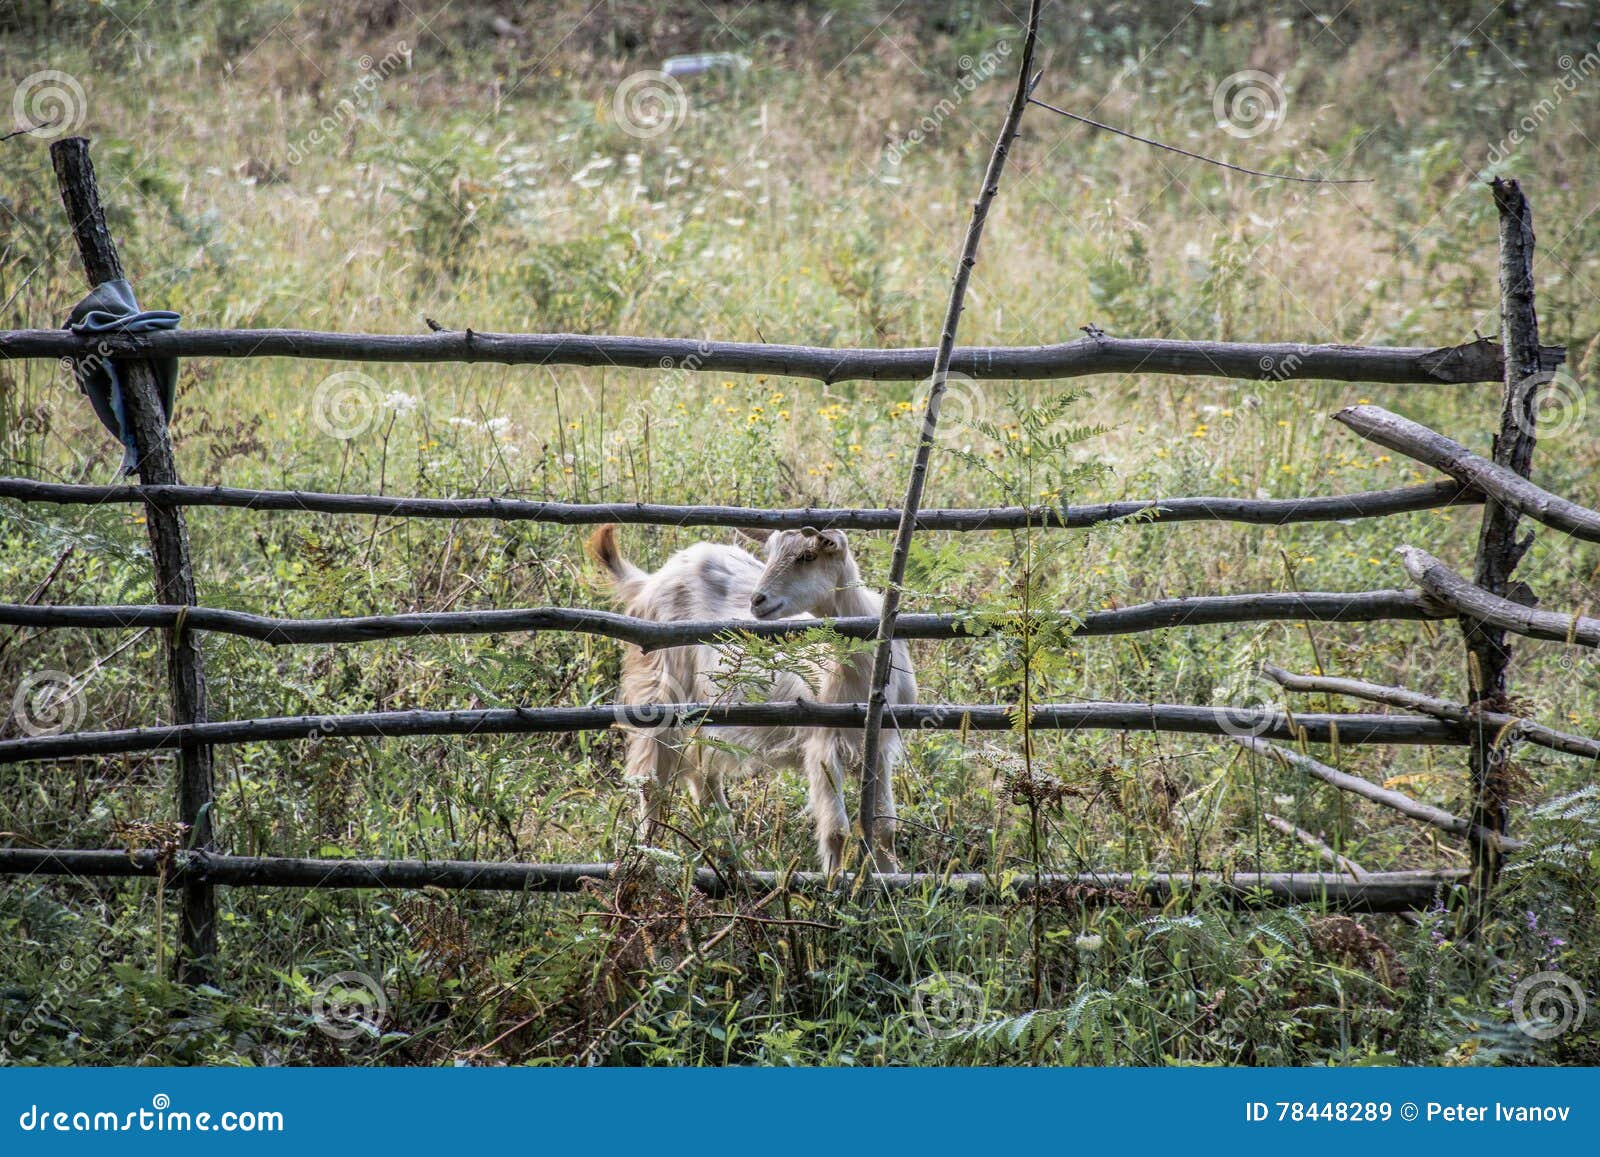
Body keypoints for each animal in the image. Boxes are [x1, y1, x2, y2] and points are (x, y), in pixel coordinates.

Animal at [586, 523, 917, 873]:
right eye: (769, 554)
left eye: (808, 555)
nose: (757, 601)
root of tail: (650, 581)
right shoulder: (822, 741)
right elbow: (836, 831)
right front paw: (834, 883)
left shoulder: (880, 743)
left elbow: (885, 827)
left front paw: (888, 880)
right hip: (658, 696)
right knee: (652, 784)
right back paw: (645, 860)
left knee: (705, 783)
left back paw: (731, 858)